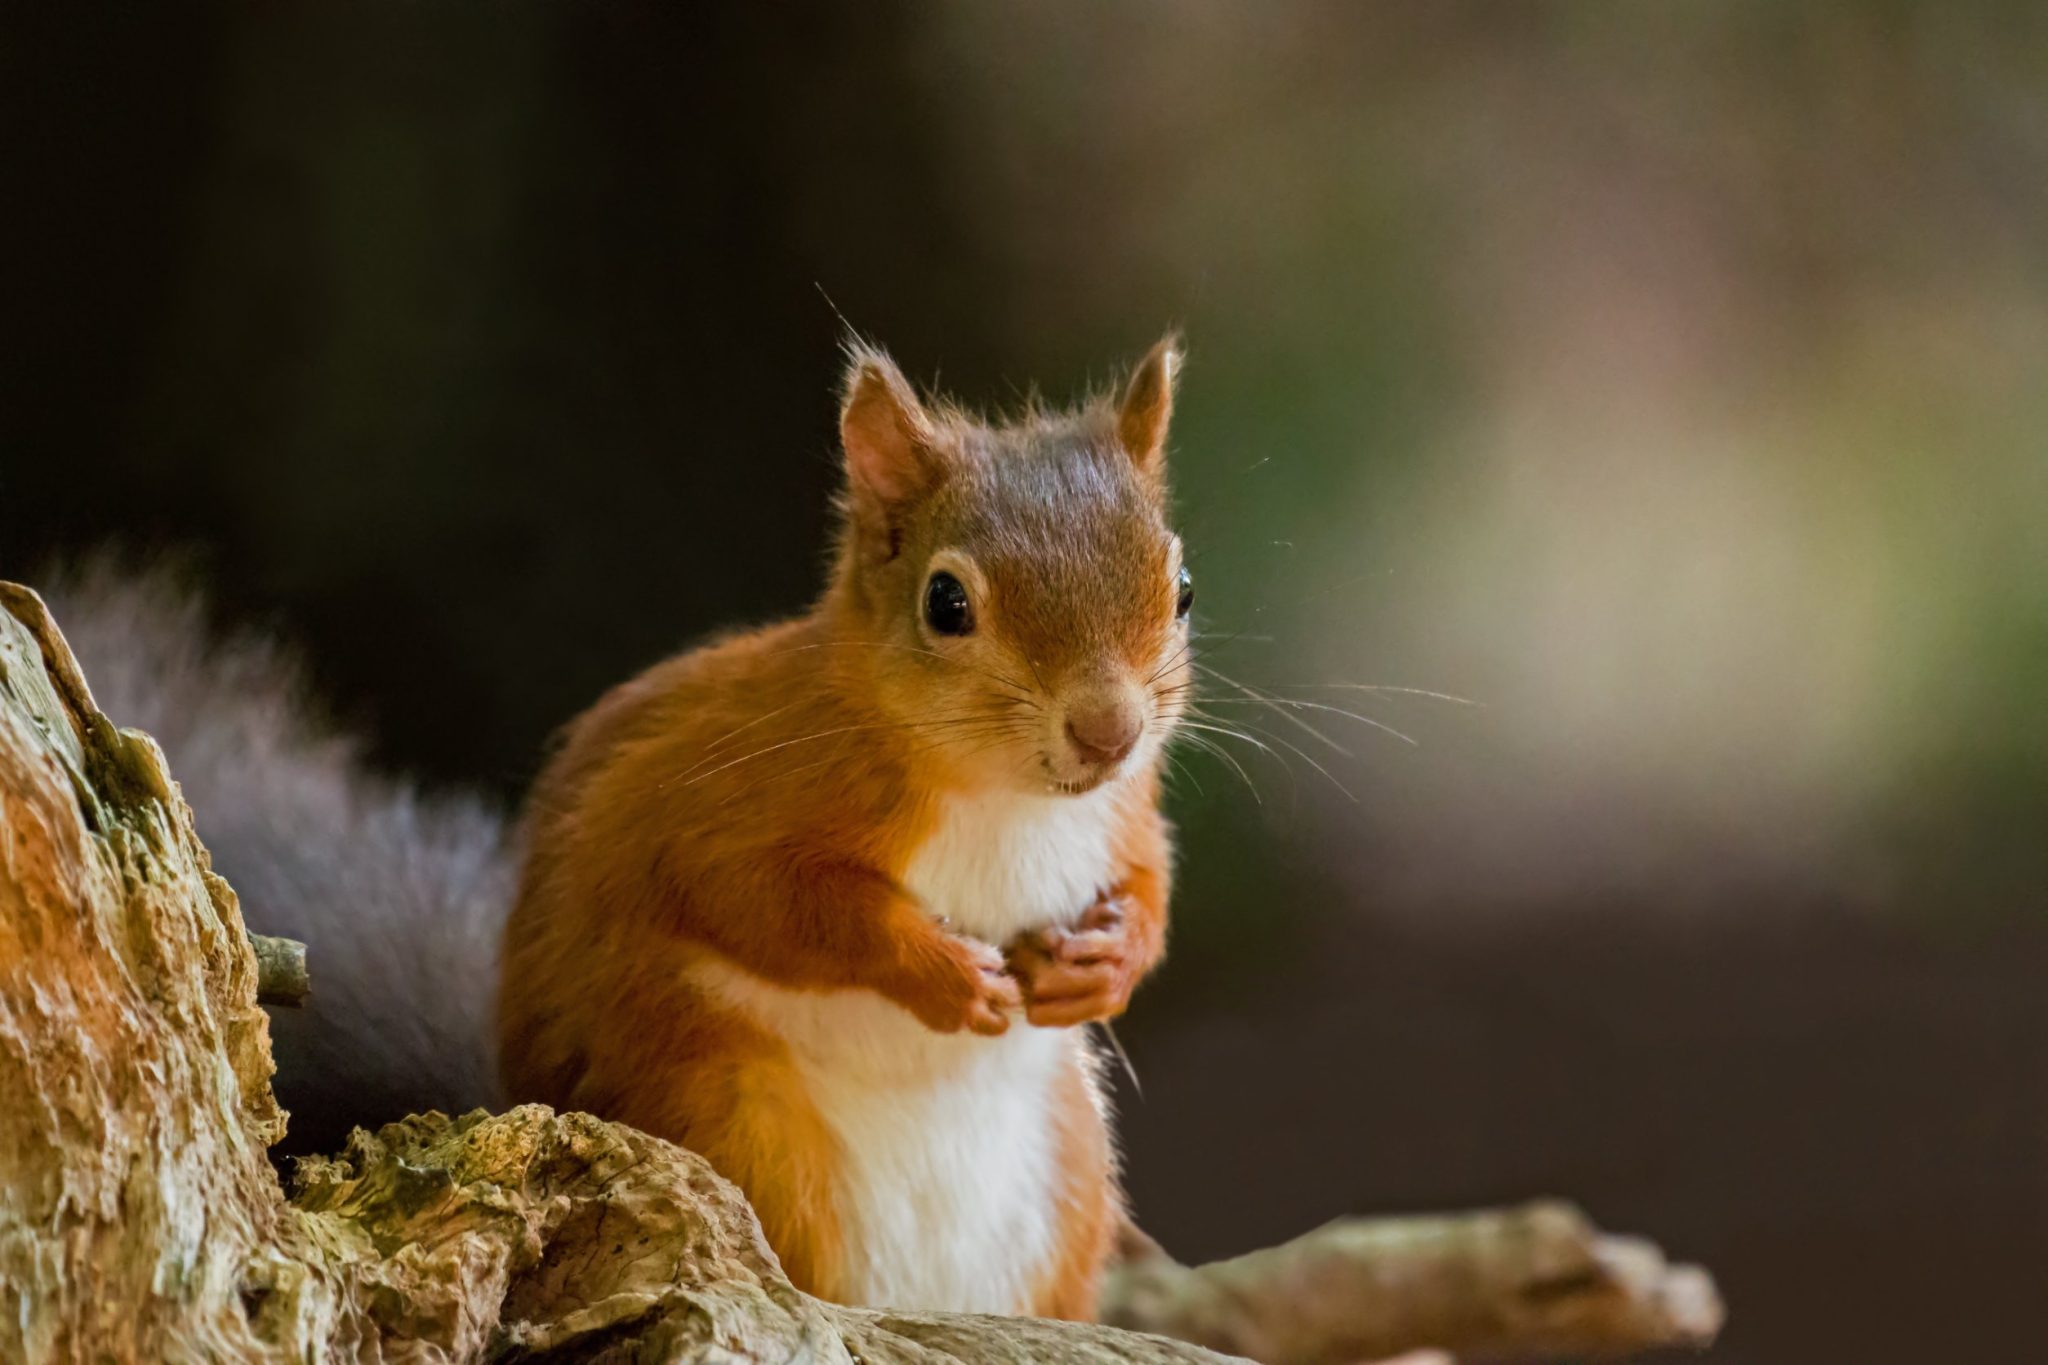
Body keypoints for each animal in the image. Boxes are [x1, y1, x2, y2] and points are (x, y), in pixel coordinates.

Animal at [35, 334, 1192, 1321]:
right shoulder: (730, 799)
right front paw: (943, 975)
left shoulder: (1119, 816)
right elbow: (770, 905)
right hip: (739, 1125)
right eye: (947, 604)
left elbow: (1148, 885)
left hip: (1068, 1173)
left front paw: (1105, 961)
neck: (1003, 797)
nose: (1107, 730)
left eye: (1178, 584)